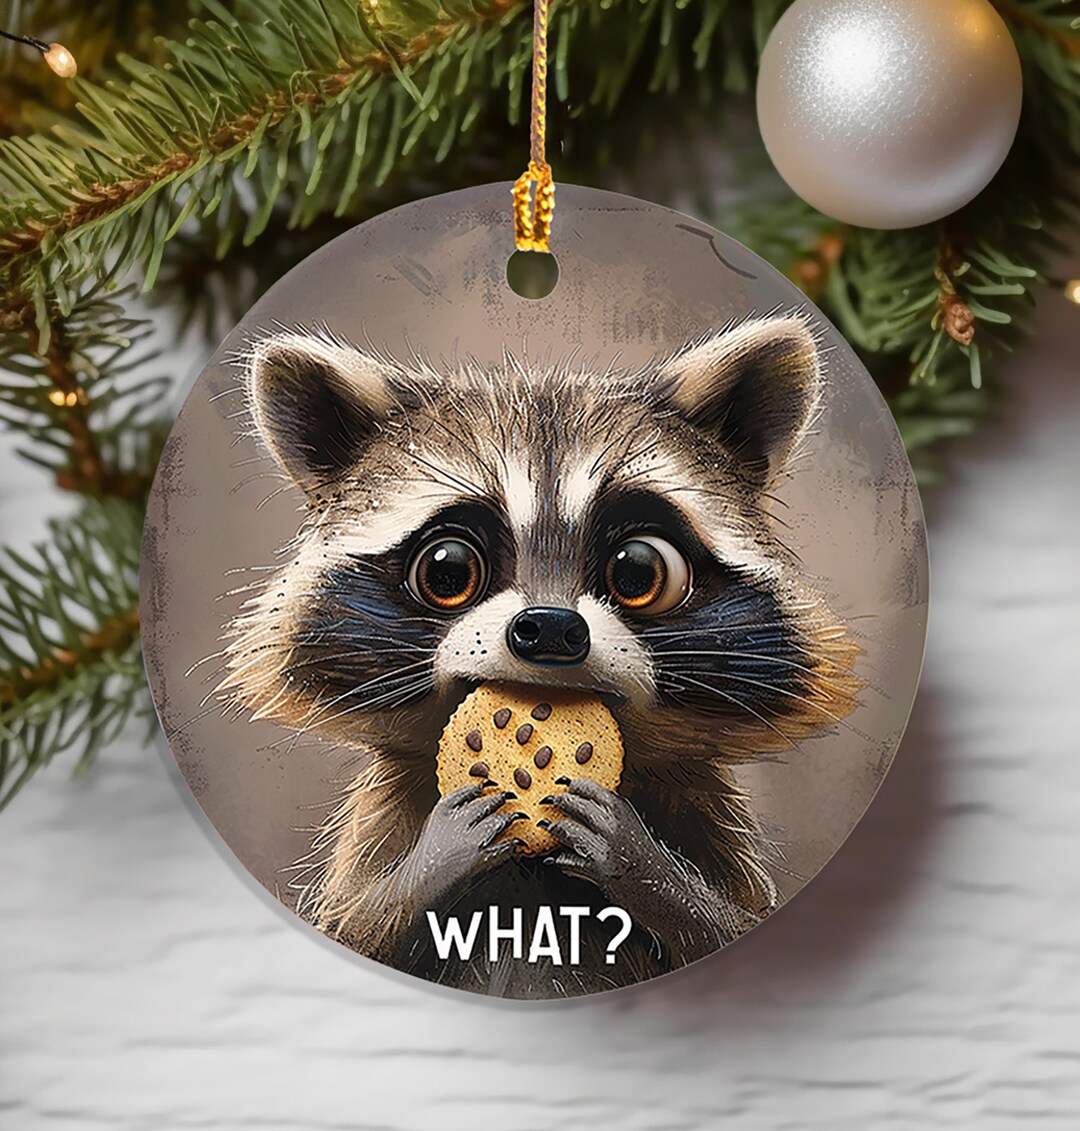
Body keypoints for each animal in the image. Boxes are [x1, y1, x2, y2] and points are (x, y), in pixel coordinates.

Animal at [220, 315, 861, 997]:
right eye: (447, 570)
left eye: (639, 571)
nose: (550, 629)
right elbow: (359, 929)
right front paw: (437, 854)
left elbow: (729, 933)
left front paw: (640, 858)